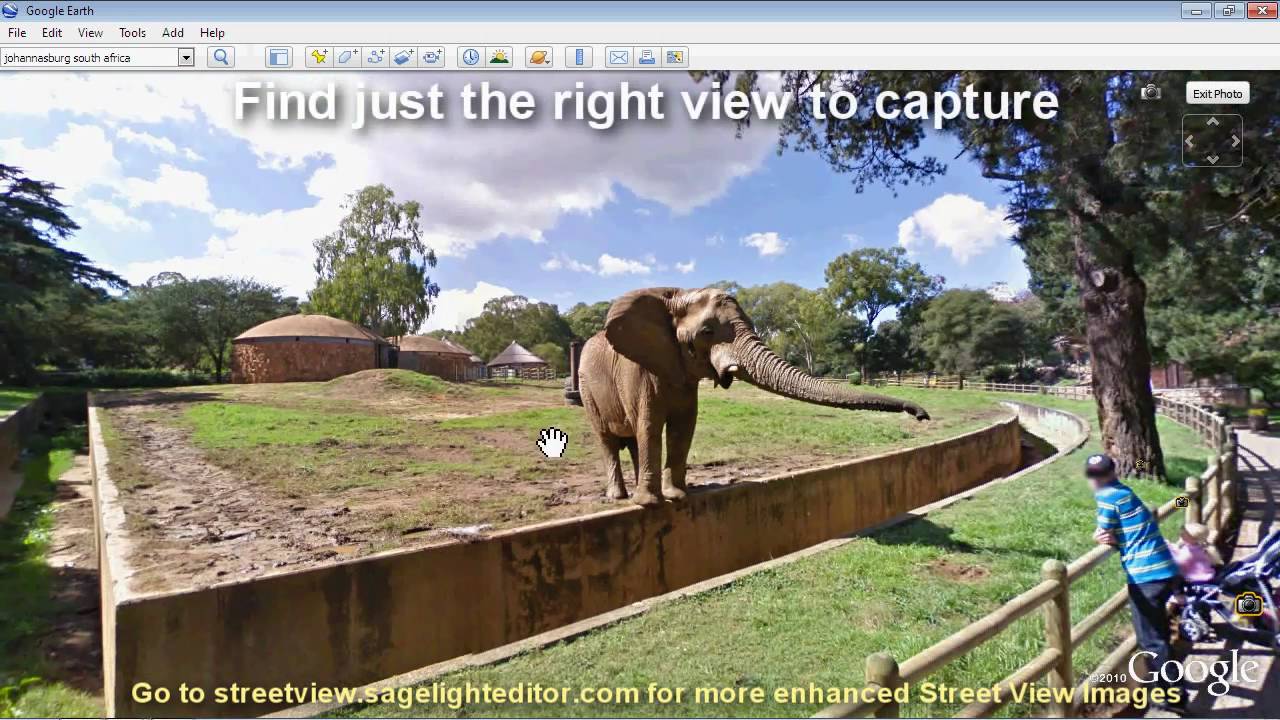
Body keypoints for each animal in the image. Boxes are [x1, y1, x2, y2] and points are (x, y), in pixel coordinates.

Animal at [577, 286, 930, 506]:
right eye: (707, 332)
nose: (922, 415)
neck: (676, 295)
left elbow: (684, 427)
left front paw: (677, 497)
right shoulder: (637, 370)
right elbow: (650, 424)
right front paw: (651, 505)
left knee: (633, 442)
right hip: (585, 390)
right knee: (608, 440)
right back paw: (619, 497)